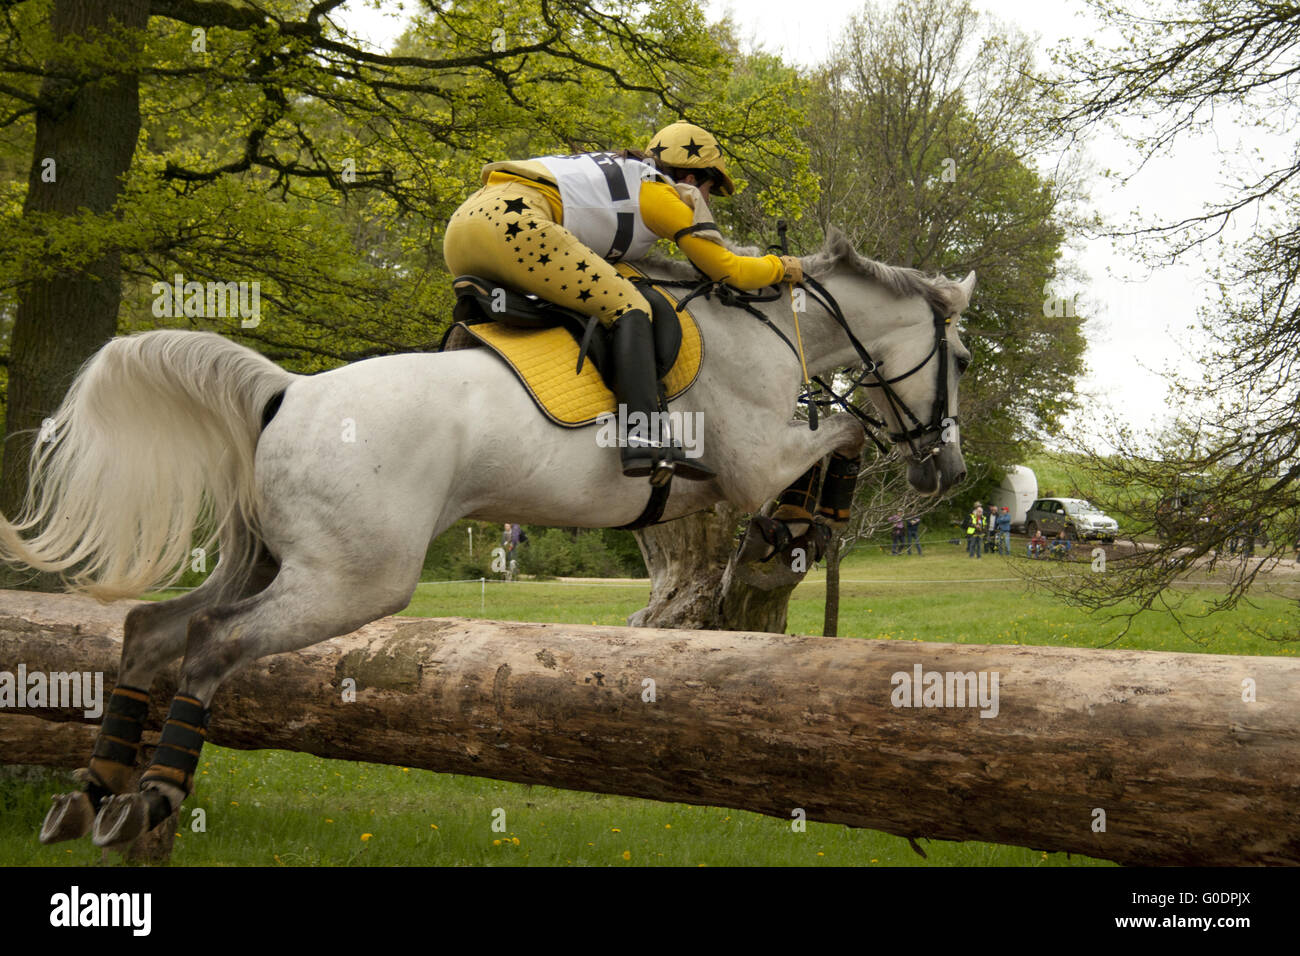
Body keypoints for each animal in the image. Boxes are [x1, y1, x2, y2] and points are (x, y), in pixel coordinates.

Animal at [0, 226, 973, 848]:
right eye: (961, 359)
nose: (949, 472)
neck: (770, 330)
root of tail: (289, 392)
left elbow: (833, 432)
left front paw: (798, 524)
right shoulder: (752, 459)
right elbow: (841, 433)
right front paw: (815, 514)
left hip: (268, 559)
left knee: (150, 631)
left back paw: (94, 791)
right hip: (353, 580)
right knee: (210, 643)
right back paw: (155, 795)